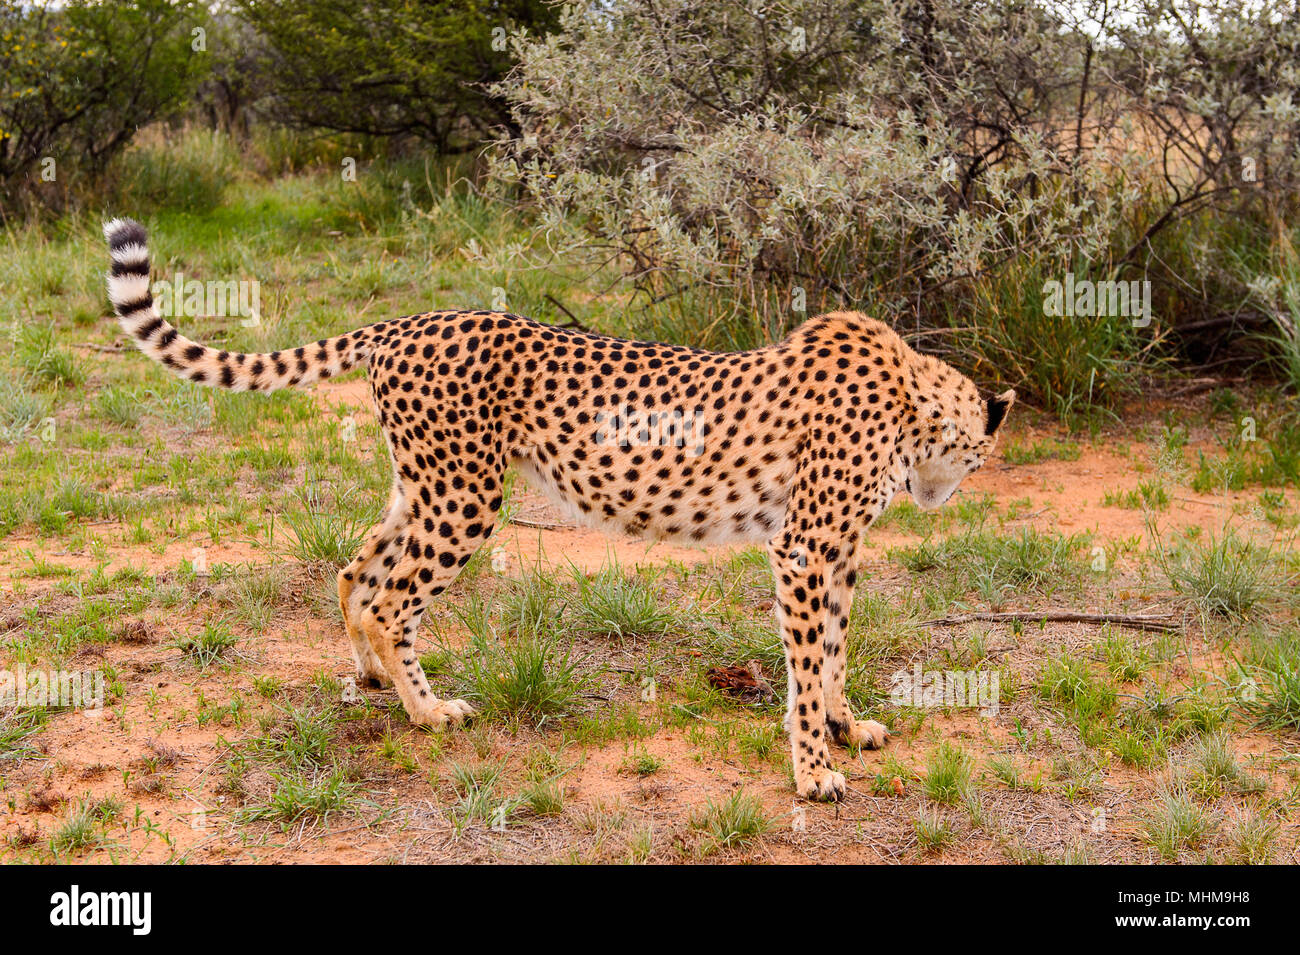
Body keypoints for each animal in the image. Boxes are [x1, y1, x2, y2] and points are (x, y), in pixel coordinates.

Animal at [104, 217, 1014, 801]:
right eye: (977, 459)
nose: (943, 495)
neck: (912, 402)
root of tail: (408, 320)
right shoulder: (804, 548)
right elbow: (808, 654)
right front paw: (814, 770)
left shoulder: (837, 552)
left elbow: (835, 649)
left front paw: (845, 727)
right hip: (466, 498)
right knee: (394, 597)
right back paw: (428, 709)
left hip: (423, 484)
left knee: (356, 570)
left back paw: (370, 676)